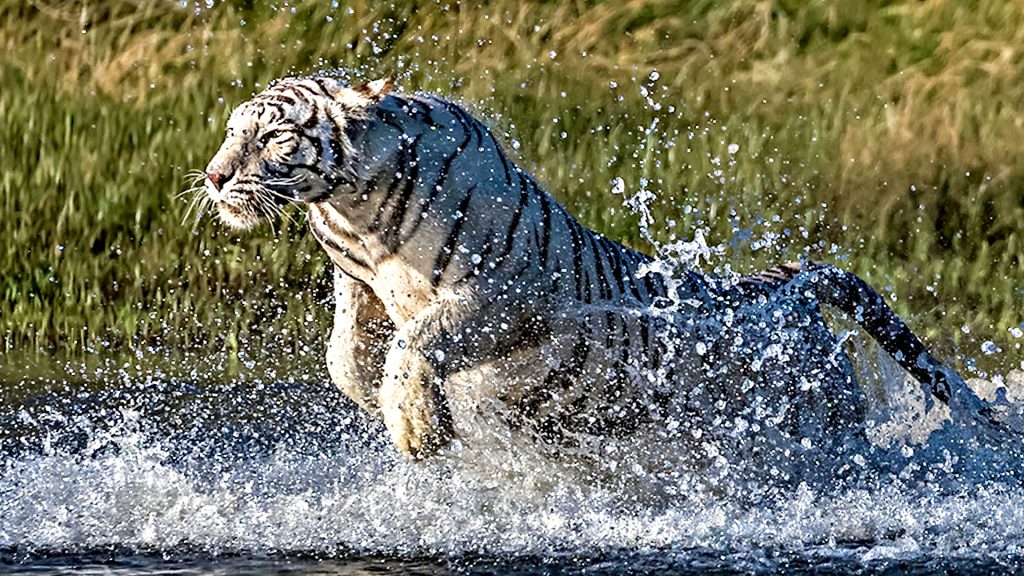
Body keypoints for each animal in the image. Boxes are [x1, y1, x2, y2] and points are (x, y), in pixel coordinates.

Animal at [200, 74, 993, 461]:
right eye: (232, 131)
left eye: (271, 136)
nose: (211, 178)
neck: (353, 210)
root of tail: (787, 286)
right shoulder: (358, 286)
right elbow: (345, 355)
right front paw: (384, 405)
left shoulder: (504, 295)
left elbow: (417, 339)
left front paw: (420, 427)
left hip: (814, 430)